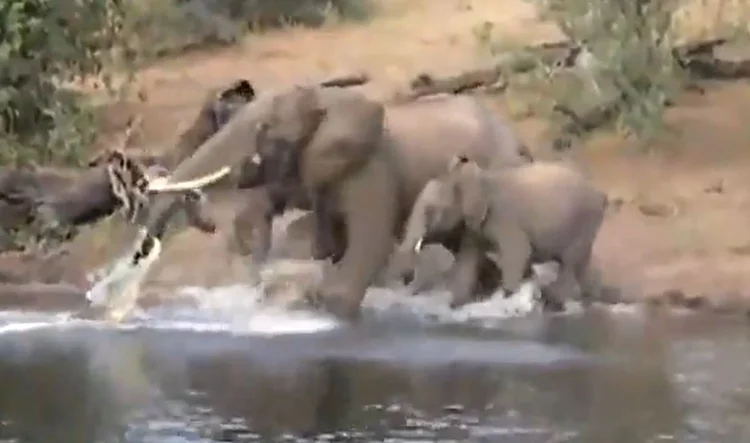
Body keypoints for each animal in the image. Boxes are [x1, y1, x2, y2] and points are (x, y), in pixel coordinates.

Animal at [395, 155, 607, 311]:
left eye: (430, 210)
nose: (407, 280)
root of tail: (601, 195)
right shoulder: (474, 227)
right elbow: (468, 261)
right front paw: (454, 306)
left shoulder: (506, 218)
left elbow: (519, 253)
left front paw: (507, 299)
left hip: (584, 222)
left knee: (570, 263)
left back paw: (552, 302)